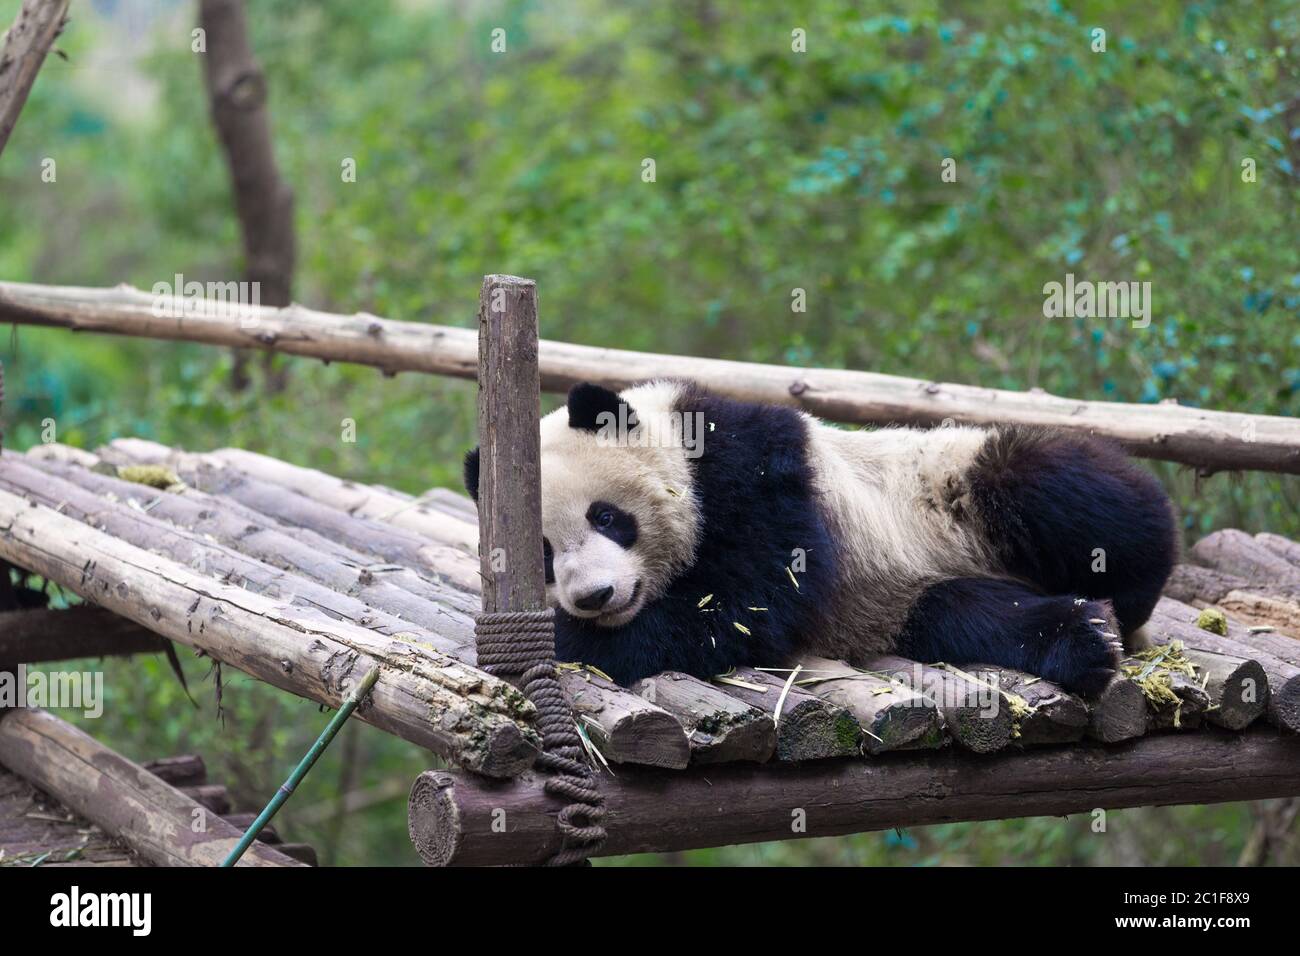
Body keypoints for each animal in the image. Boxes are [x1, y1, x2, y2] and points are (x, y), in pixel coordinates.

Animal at [463, 379, 1178, 697]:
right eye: (543, 555)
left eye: (607, 517)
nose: (595, 597)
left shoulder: (750, 465)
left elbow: (746, 601)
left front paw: (570, 641)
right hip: (896, 599)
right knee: (969, 614)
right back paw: (1081, 638)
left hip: (947, 481)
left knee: (1061, 487)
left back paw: (1130, 593)